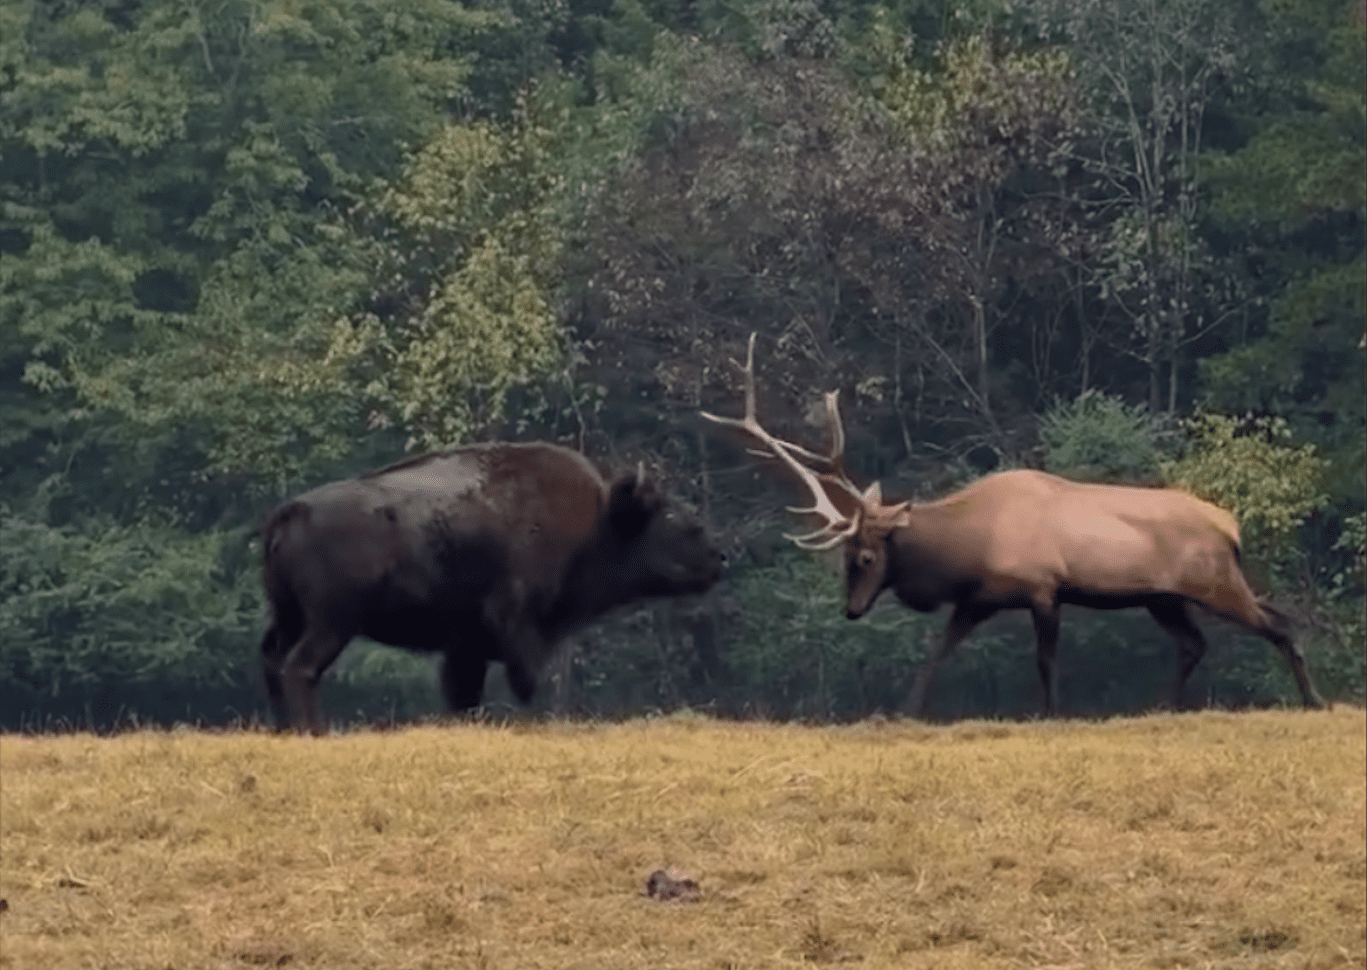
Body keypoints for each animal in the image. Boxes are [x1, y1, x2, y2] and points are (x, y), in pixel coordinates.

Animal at [259, 443, 723, 733]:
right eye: (676, 520)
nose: (719, 560)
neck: (597, 522)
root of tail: (291, 511)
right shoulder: (514, 626)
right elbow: (522, 682)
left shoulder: (466, 646)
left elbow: (463, 694)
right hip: (332, 623)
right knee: (300, 667)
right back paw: (315, 731)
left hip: (289, 617)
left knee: (273, 661)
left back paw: (284, 729)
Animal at [702, 334, 1326, 717]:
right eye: (843, 556)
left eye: (866, 556)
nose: (852, 611)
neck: (966, 546)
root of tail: (1231, 525)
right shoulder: (977, 599)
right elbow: (937, 652)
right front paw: (905, 710)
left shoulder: (1042, 587)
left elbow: (1045, 659)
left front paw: (1049, 712)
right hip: (1164, 597)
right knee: (1199, 642)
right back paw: (1164, 704)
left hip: (1213, 581)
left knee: (1278, 625)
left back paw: (1313, 699)